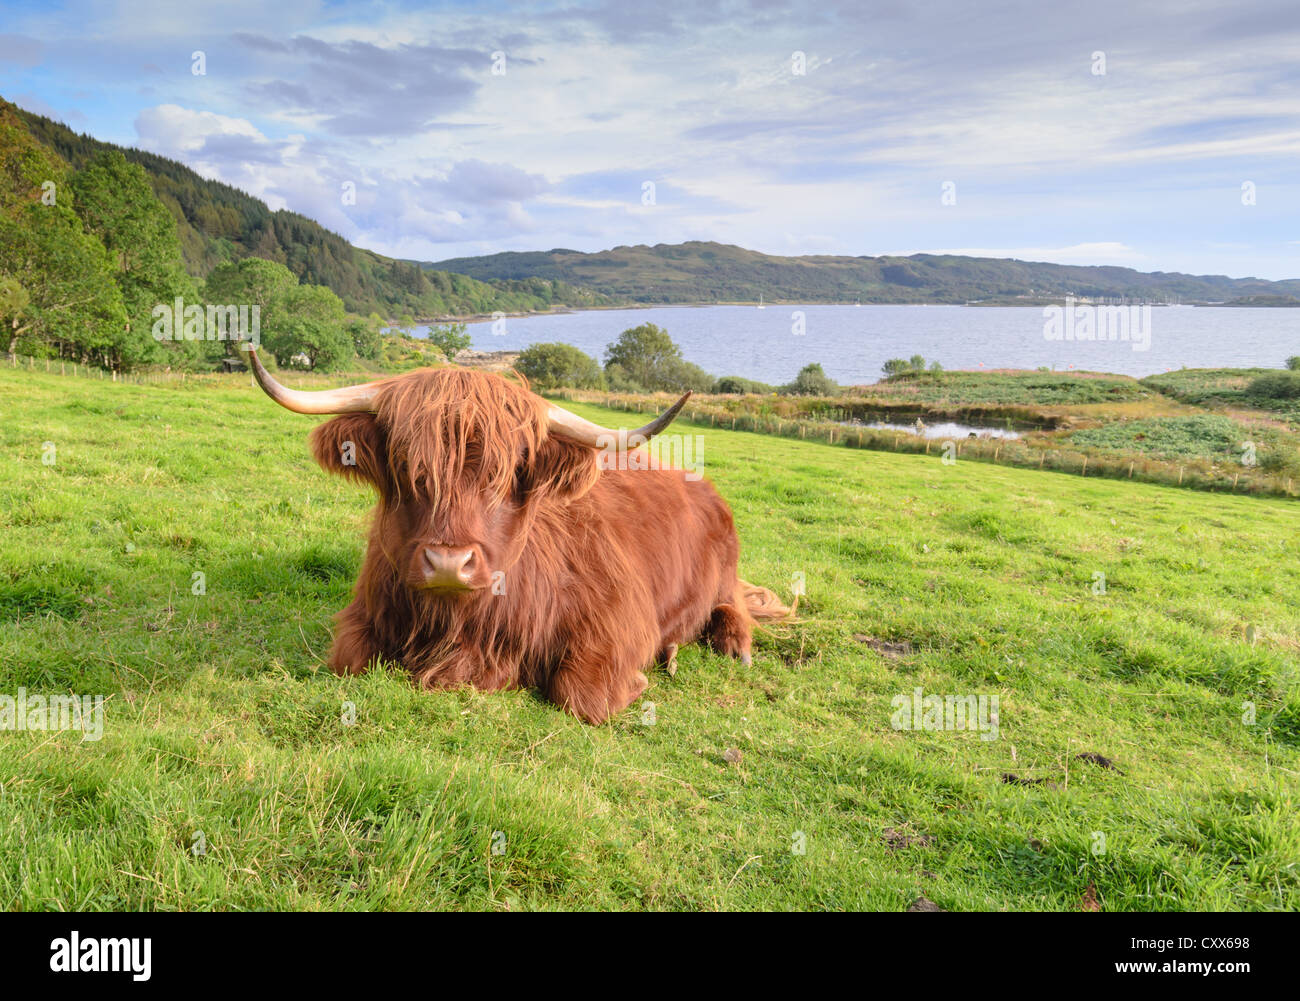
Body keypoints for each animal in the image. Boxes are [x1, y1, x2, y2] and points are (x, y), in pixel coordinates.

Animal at [246, 346, 790, 723]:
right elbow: (349, 659)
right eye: (405, 465)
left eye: (507, 472)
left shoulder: (617, 619)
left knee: (731, 602)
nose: (449, 564)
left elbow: (584, 696)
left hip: (723, 570)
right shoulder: (366, 618)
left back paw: (728, 646)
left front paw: (638, 680)